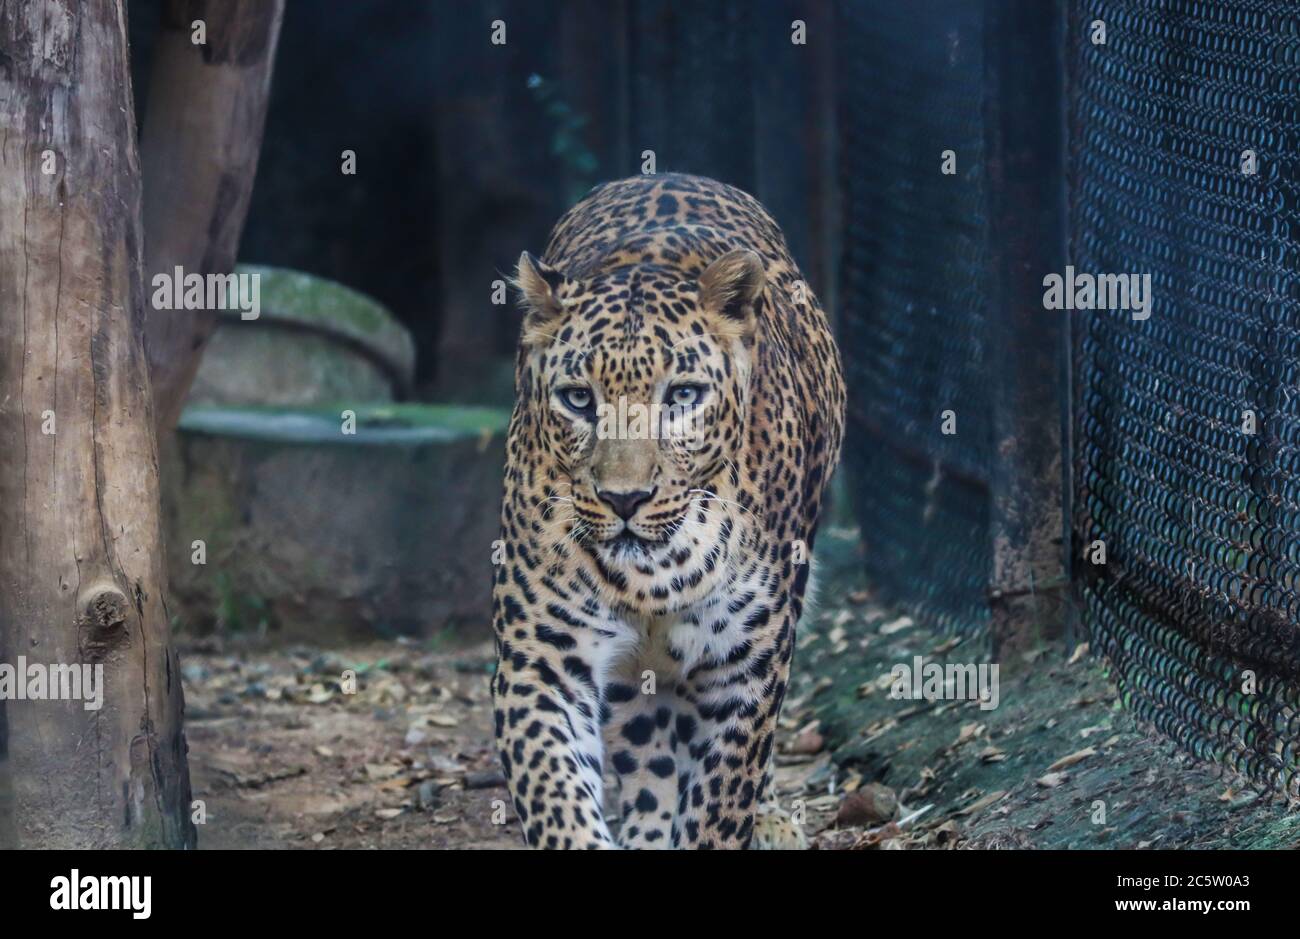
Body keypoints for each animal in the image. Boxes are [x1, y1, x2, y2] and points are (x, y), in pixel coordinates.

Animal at [490, 173, 845, 849]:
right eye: (579, 399)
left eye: (682, 395)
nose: (624, 499)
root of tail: (663, 174)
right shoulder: (541, 659)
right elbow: (557, 800)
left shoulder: (747, 664)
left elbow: (721, 800)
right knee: (647, 755)